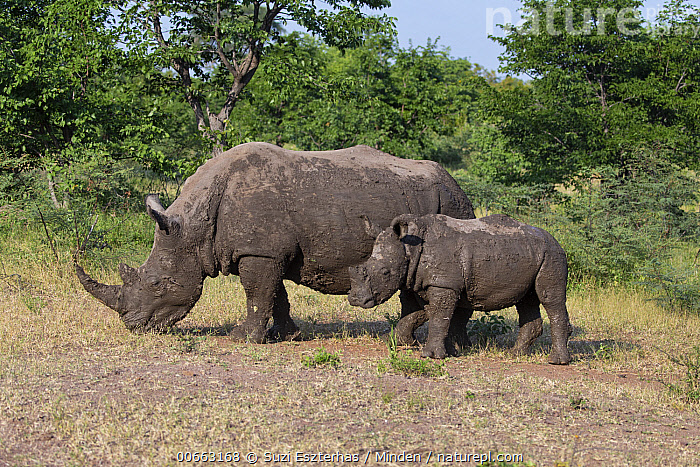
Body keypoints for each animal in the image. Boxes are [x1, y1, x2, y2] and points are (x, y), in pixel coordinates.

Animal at [76, 142, 475, 342]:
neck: (193, 227)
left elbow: (256, 294)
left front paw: (242, 338)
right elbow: (274, 294)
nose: (133, 326)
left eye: (158, 283)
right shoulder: (267, 250)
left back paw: (447, 344)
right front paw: (287, 335)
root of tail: (455, 182)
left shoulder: (259, 251)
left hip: (452, 202)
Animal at [347, 214, 572, 364]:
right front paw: (450, 352)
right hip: (532, 254)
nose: (355, 299)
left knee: (550, 298)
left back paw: (557, 361)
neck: (410, 247)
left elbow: (439, 317)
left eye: (385, 272)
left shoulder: (443, 283)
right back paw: (515, 354)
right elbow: (430, 315)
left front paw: (430, 356)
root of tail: (555, 240)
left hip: (552, 254)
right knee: (527, 301)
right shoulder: (423, 282)